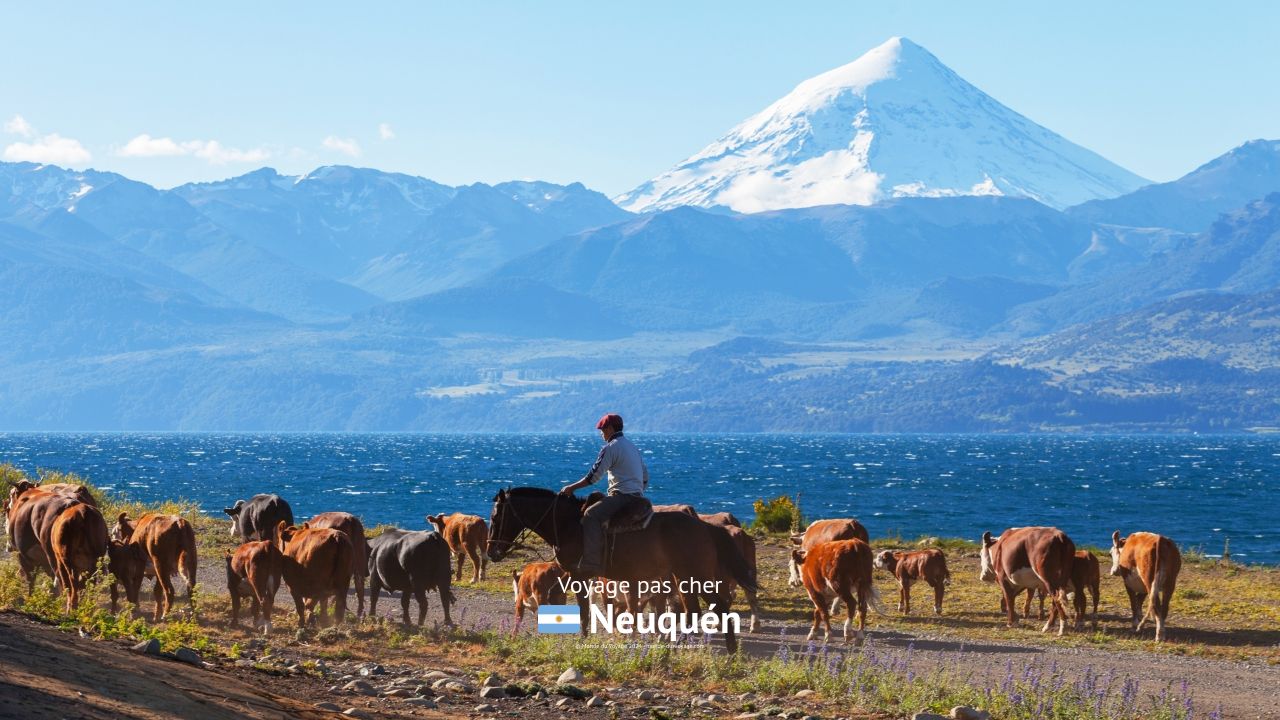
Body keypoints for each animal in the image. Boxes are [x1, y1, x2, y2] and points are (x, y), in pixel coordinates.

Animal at [483, 486, 752, 650]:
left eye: (496, 517)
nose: (491, 551)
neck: (569, 525)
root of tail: (705, 527)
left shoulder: (580, 576)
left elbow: (584, 612)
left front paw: (582, 641)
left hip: (696, 576)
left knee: (717, 607)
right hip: (685, 578)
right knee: (697, 609)